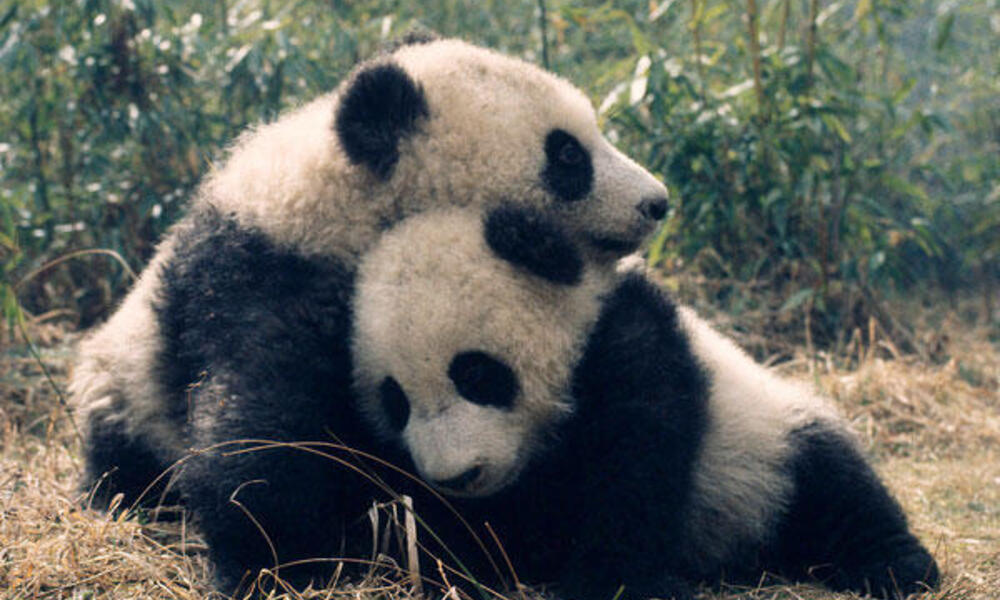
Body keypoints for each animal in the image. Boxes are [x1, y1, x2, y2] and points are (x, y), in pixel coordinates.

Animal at [69, 34, 669, 591]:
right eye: (567, 155)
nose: (658, 203)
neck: (340, 201)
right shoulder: (263, 283)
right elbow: (256, 424)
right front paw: (276, 560)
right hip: (126, 394)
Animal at [350, 208, 940, 600]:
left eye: (476, 374)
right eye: (396, 401)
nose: (457, 475)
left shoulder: (632, 346)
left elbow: (634, 471)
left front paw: (617, 584)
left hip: (769, 444)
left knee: (833, 487)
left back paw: (896, 566)